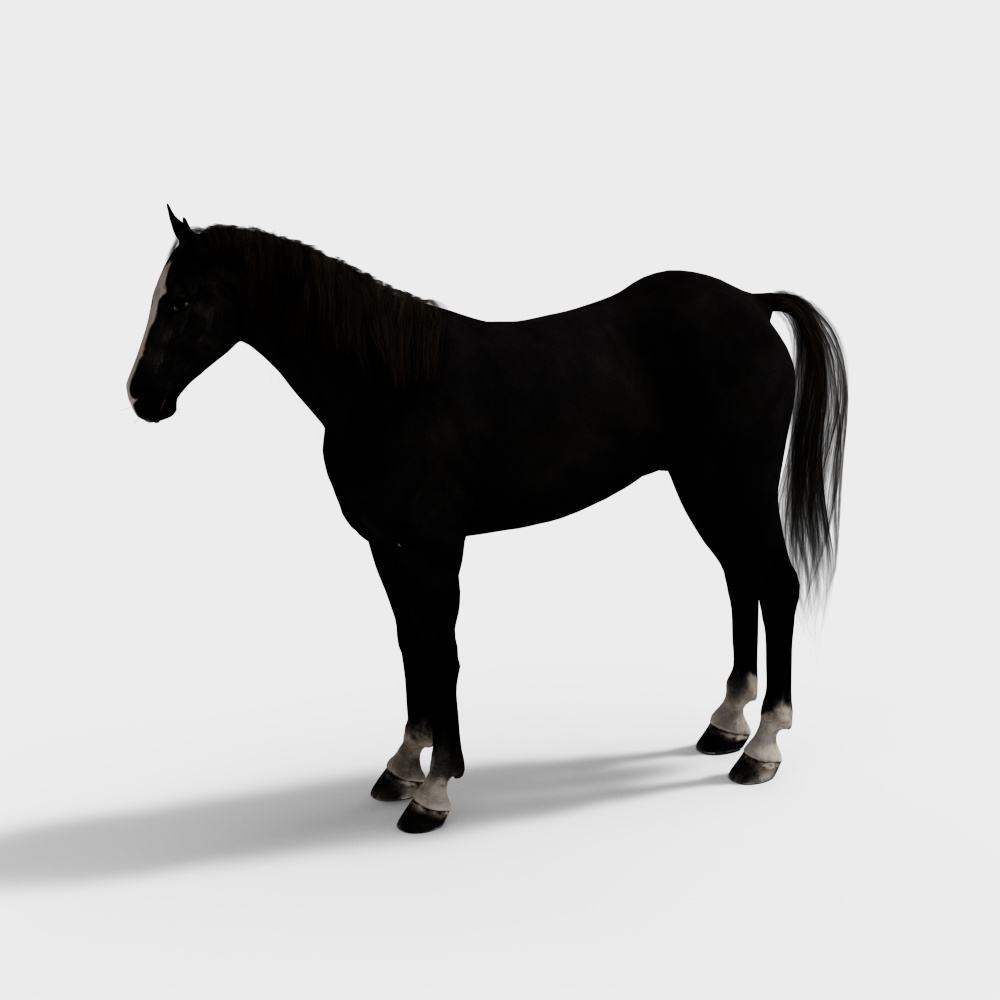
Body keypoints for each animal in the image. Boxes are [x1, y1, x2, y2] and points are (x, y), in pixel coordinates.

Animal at [128, 206, 847, 833]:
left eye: (181, 300)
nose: (142, 397)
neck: (388, 390)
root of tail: (752, 302)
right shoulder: (386, 546)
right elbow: (410, 646)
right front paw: (401, 765)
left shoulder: (436, 546)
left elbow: (442, 652)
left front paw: (435, 790)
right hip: (702, 487)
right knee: (740, 582)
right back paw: (725, 723)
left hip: (740, 485)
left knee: (777, 586)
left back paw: (761, 749)